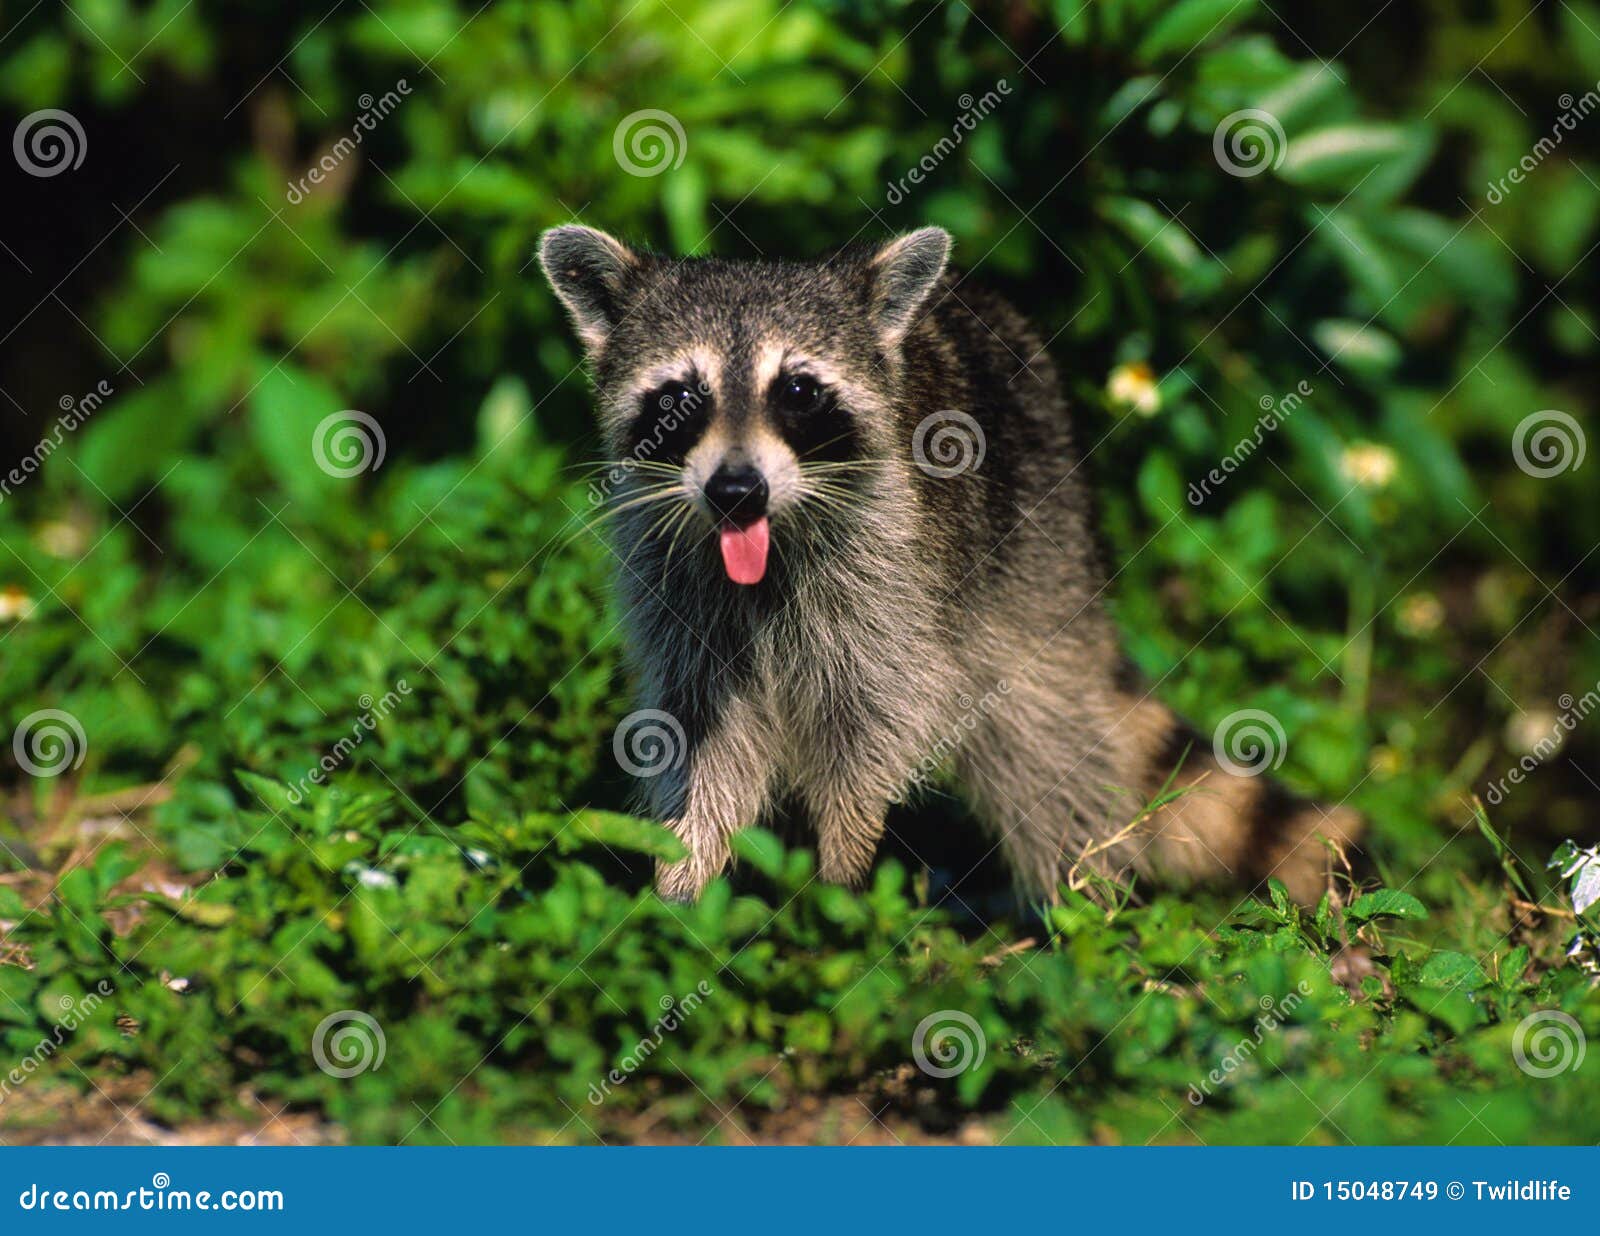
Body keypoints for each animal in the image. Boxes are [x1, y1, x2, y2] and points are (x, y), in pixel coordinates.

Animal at [539, 224, 1360, 905]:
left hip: (1035, 569)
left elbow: (875, 727)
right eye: (681, 396)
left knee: (1046, 747)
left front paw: (842, 872)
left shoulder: (893, 580)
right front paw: (683, 879)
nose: (736, 491)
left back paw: (1084, 909)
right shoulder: (672, 583)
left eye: (798, 391)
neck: (767, 548)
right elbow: (697, 733)